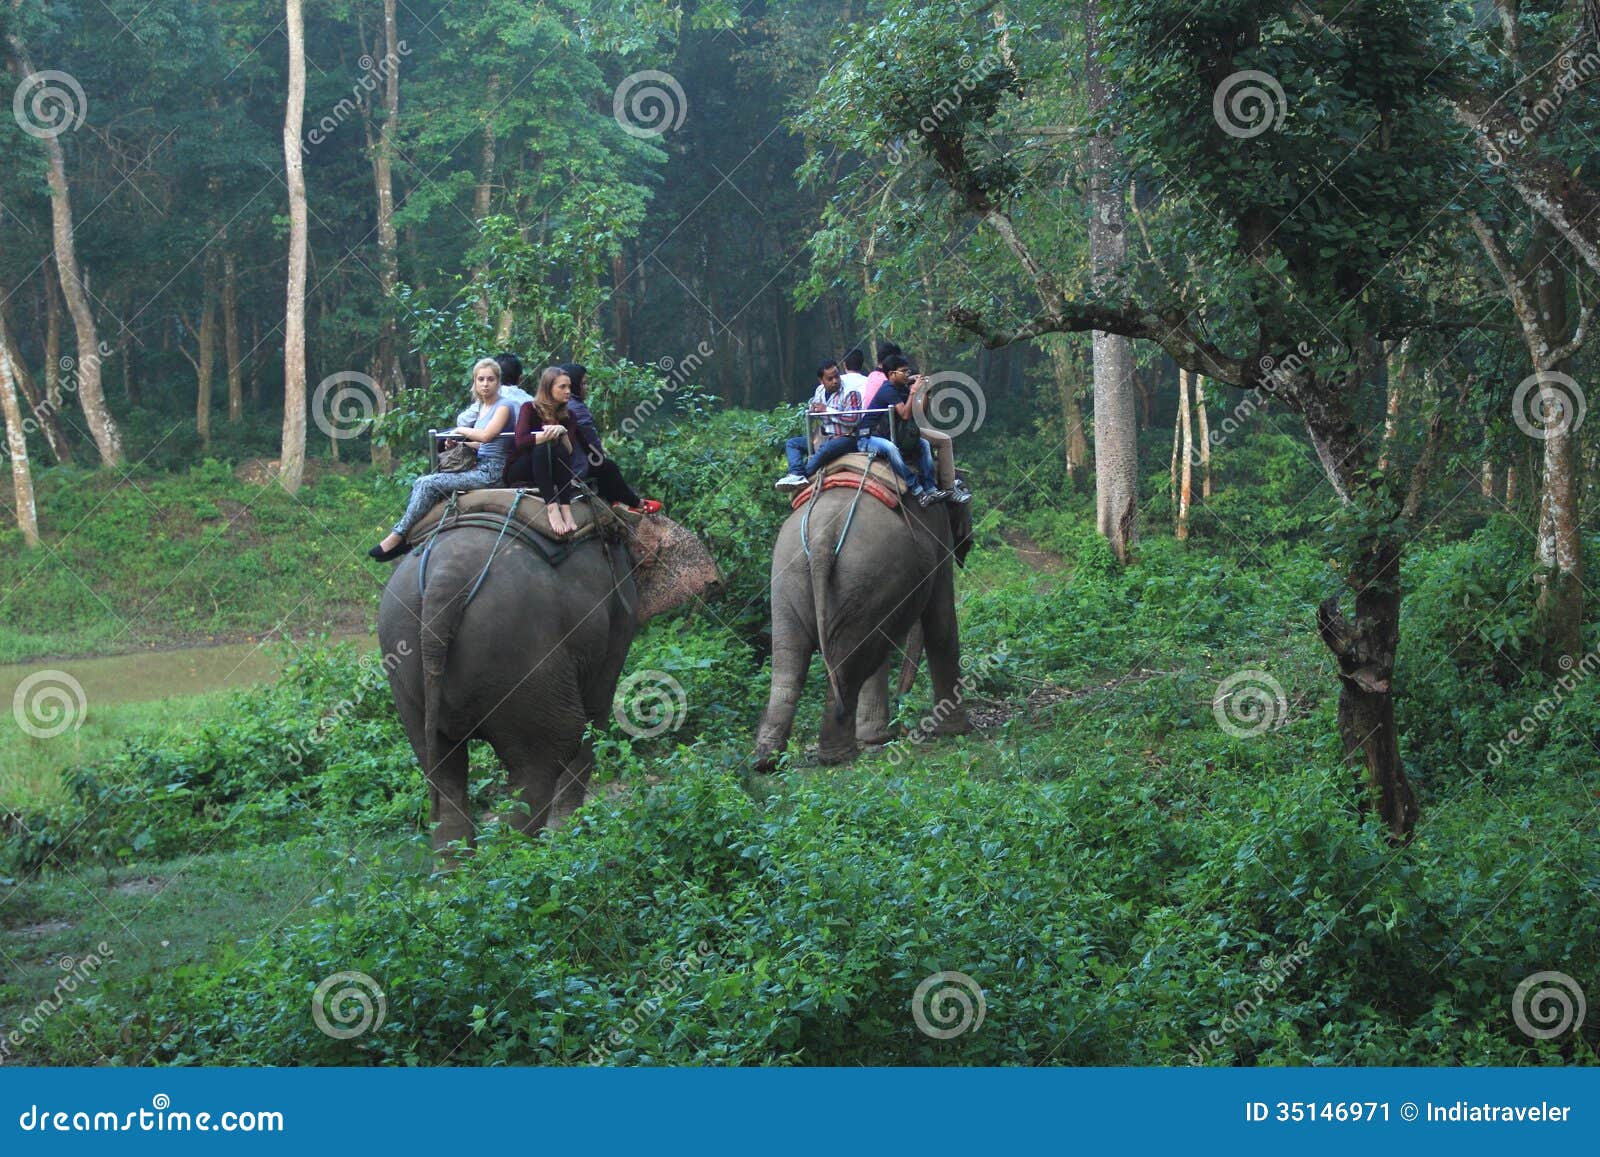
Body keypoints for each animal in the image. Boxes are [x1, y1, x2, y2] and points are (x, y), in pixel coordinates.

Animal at [377, 509, 722, 855]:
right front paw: (569, 831)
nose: (716, 584)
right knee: (552, 748)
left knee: (441, 767)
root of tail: (444, 580)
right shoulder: (618, 610)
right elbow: (597, 709)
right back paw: (527, 854)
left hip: (403, 656)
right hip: (519, 653)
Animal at [754, 482, 973, 770]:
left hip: (789, 576)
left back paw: (765, 760)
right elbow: (940, 620)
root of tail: (823, 536)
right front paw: (956, 731)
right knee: (850, 664)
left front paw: (877, 737)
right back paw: (840, 756)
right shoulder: (938, 535)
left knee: (790, 662)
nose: (904, 724)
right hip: (861, 574)